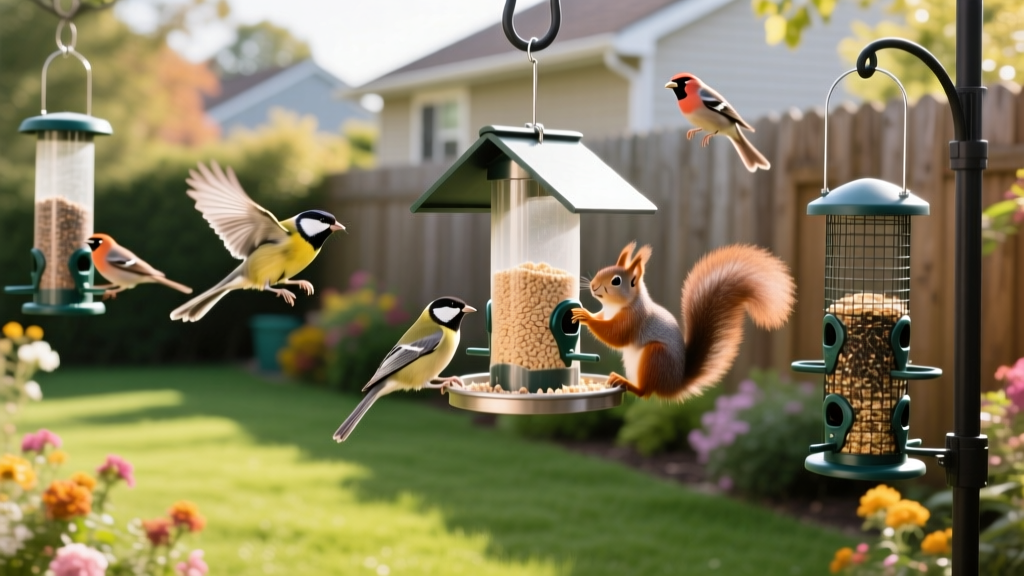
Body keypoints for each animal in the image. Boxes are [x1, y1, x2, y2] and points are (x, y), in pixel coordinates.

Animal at [571, 242, 795, 400]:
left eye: (616, 281)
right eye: (602, 270)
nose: (593, 285)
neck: (615, 307)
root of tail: (674, 384)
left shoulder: (634, 320)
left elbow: (615, 335)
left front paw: (585, 317)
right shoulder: (607, 313)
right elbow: (603, 321)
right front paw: (586, 312)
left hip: (656, 356)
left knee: (645, 392)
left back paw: (626, 382)